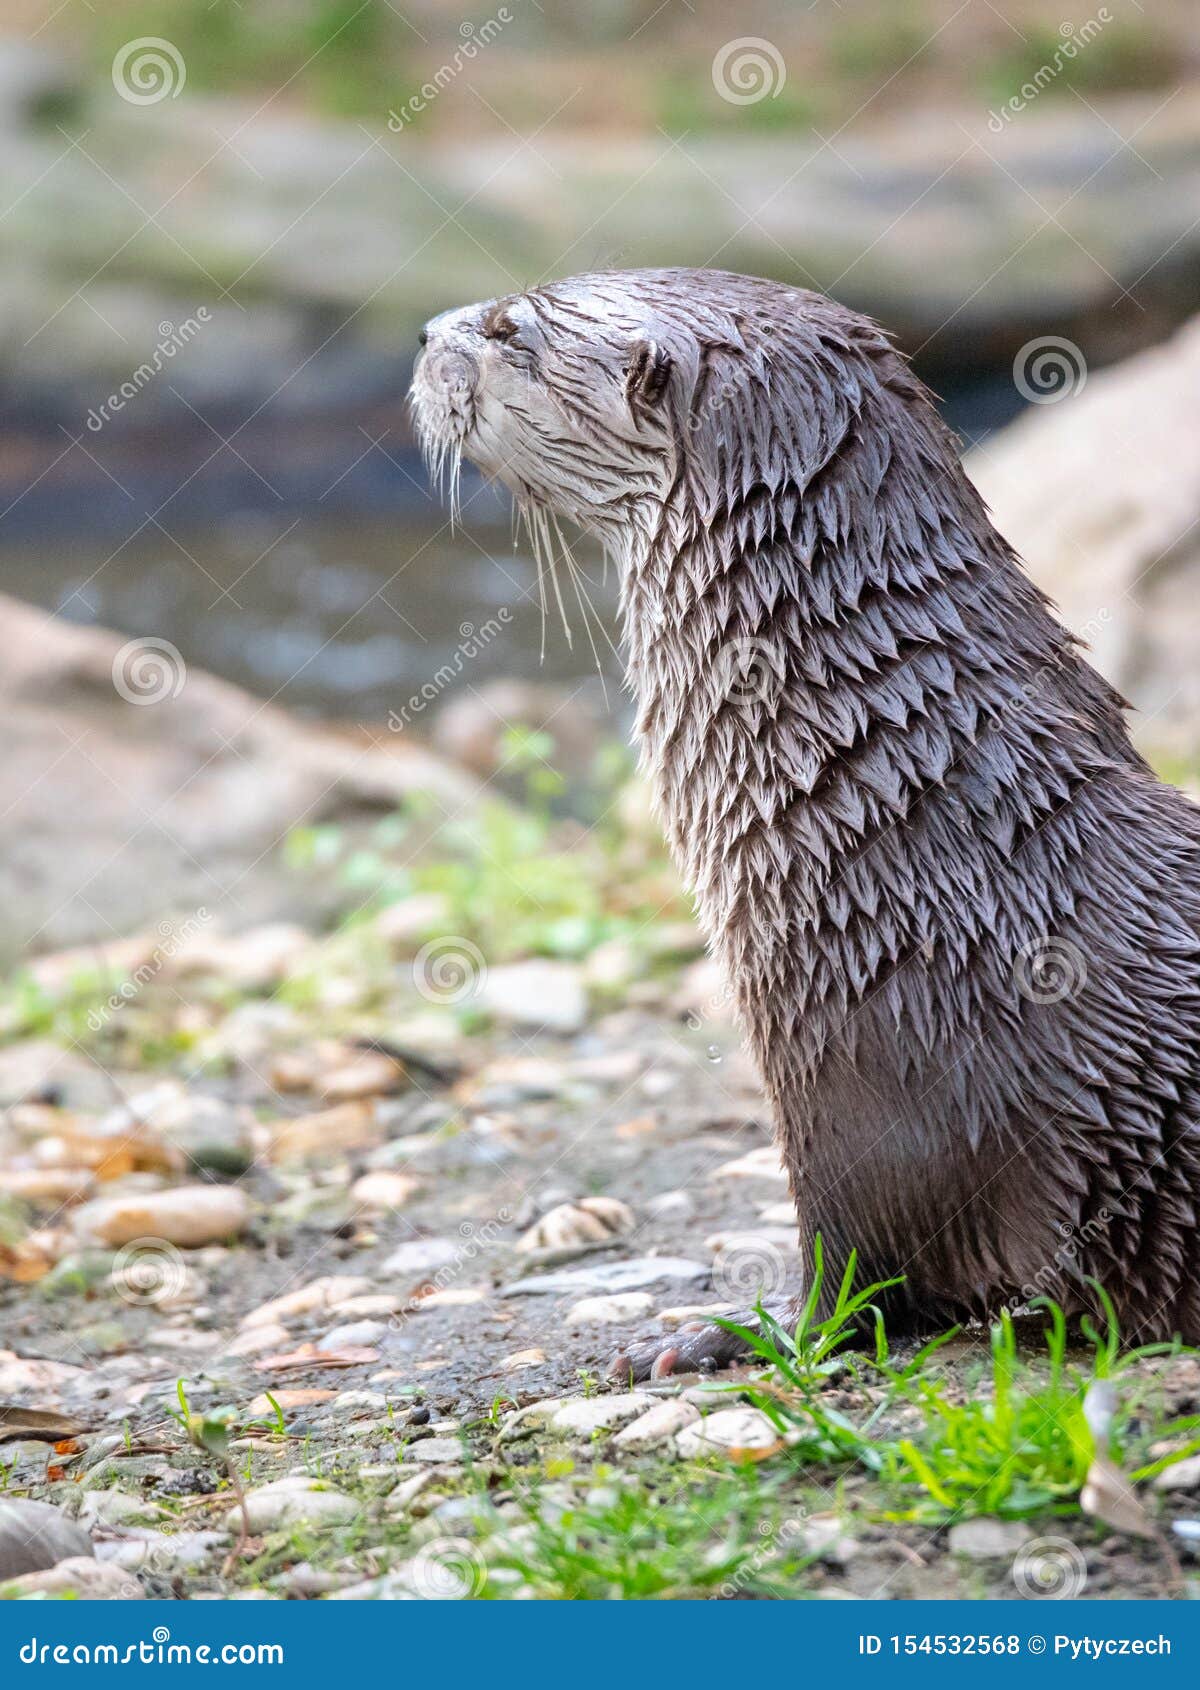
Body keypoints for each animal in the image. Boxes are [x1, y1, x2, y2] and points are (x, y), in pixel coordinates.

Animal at [412, 268, 1200, 1378]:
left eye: (506, 325)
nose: (422, 332)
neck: (905, 834)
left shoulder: (862, 1099)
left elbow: (849, 1280)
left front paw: (714, 1333)